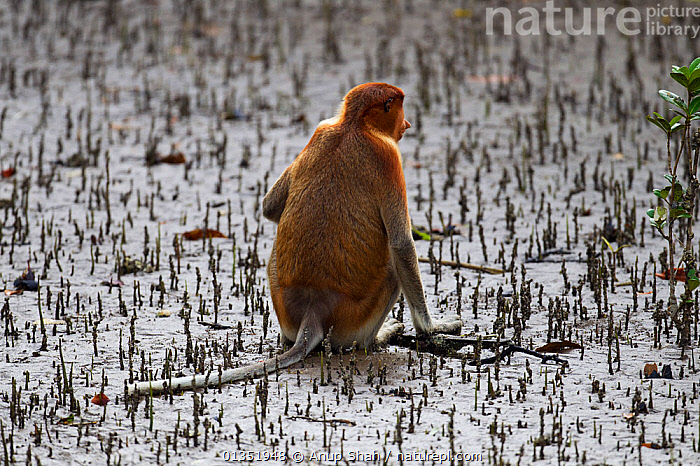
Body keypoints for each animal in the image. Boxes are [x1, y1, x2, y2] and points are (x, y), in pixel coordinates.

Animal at [127, 83, 461, 396]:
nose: (407, 125)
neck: (354, 125)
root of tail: (314, 310)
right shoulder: (388, 157)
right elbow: (402, 244)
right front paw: (436, 326)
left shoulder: (320, 130)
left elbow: (270, 207)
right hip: (358, 313)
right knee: (392, 269)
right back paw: (379, 336)